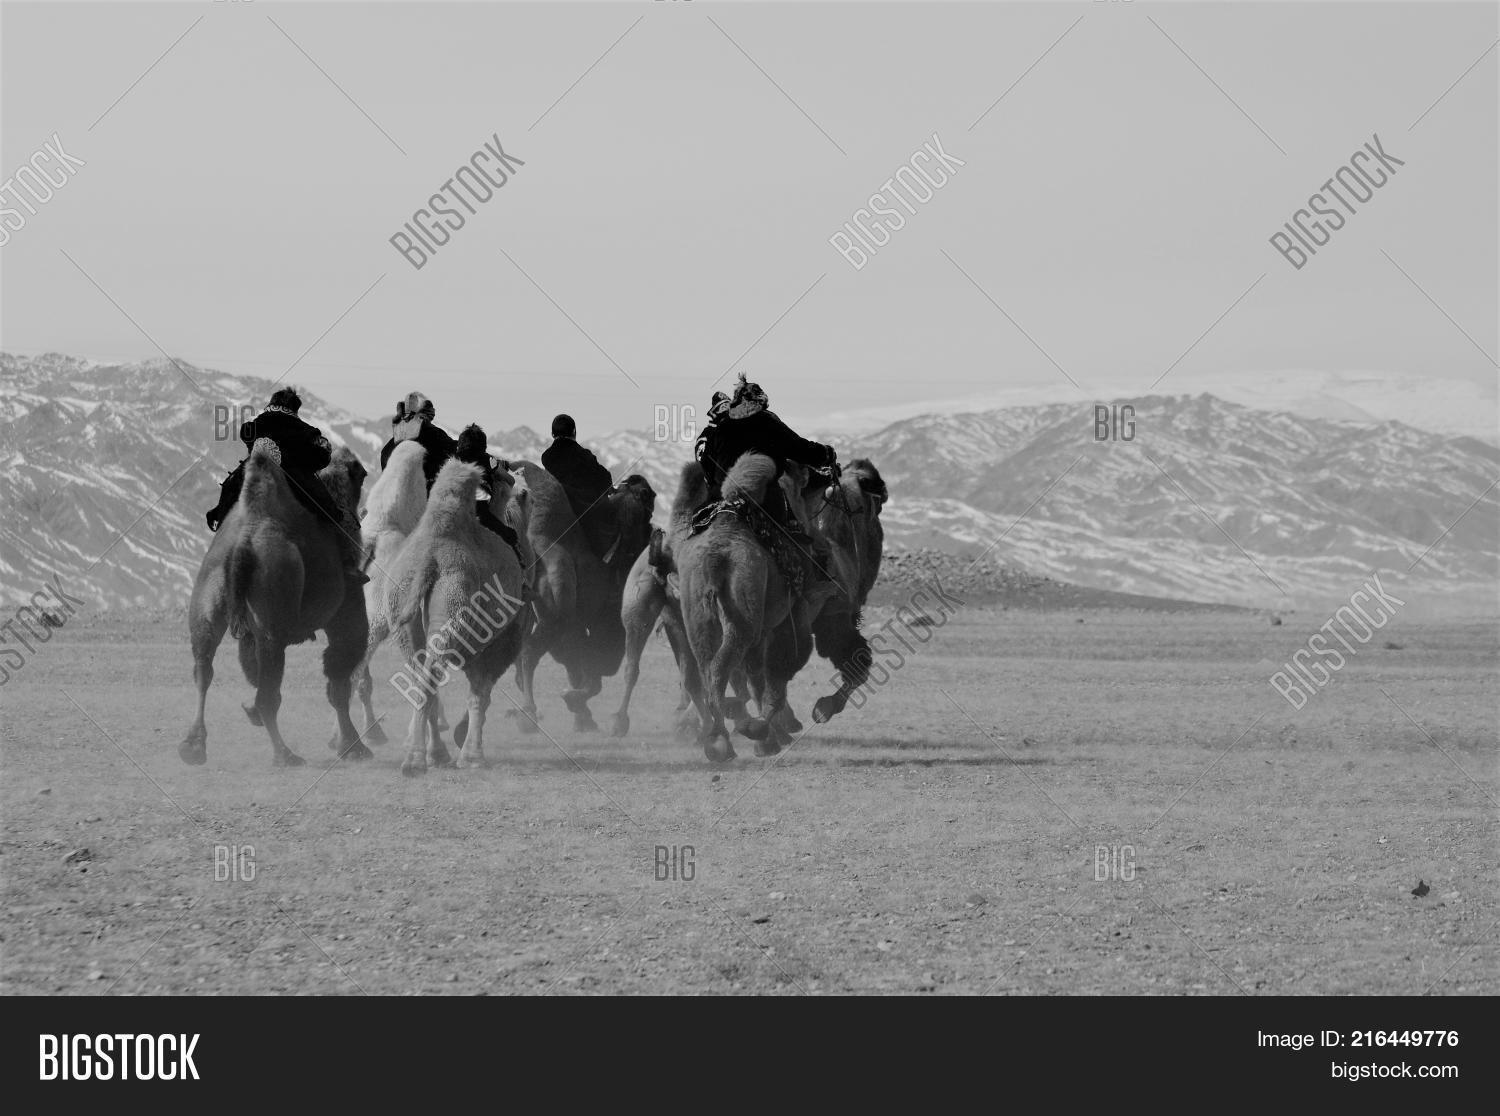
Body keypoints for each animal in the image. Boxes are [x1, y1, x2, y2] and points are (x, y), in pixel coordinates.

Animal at [181, 440, 370, 767]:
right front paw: (353, 747)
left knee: (204, 670)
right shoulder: (347, 606)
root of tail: (242, 546)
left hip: (208, 600)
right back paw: (285, 754)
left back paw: (193, 747)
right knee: (270, 692)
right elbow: (338, 678)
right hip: (273, 617)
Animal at [386, 458, 528, 775]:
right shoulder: (502, 641)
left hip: (405, 616)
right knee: (431, 678)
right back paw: (418, 760)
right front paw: (472, 756)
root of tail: (428, 560)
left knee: (420, 678)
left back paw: (431, 755)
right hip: (454, 610)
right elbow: (481, 694)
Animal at [502, 462, 655, 734]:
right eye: (648, 501)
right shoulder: (606, 624)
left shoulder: (578, 625)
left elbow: (579, 667)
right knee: (530, 653)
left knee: (522, 656)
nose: (653, 532)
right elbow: (598, 667)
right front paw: (580, 708)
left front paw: (581, 716)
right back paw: (528, 715)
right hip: (556, 614)